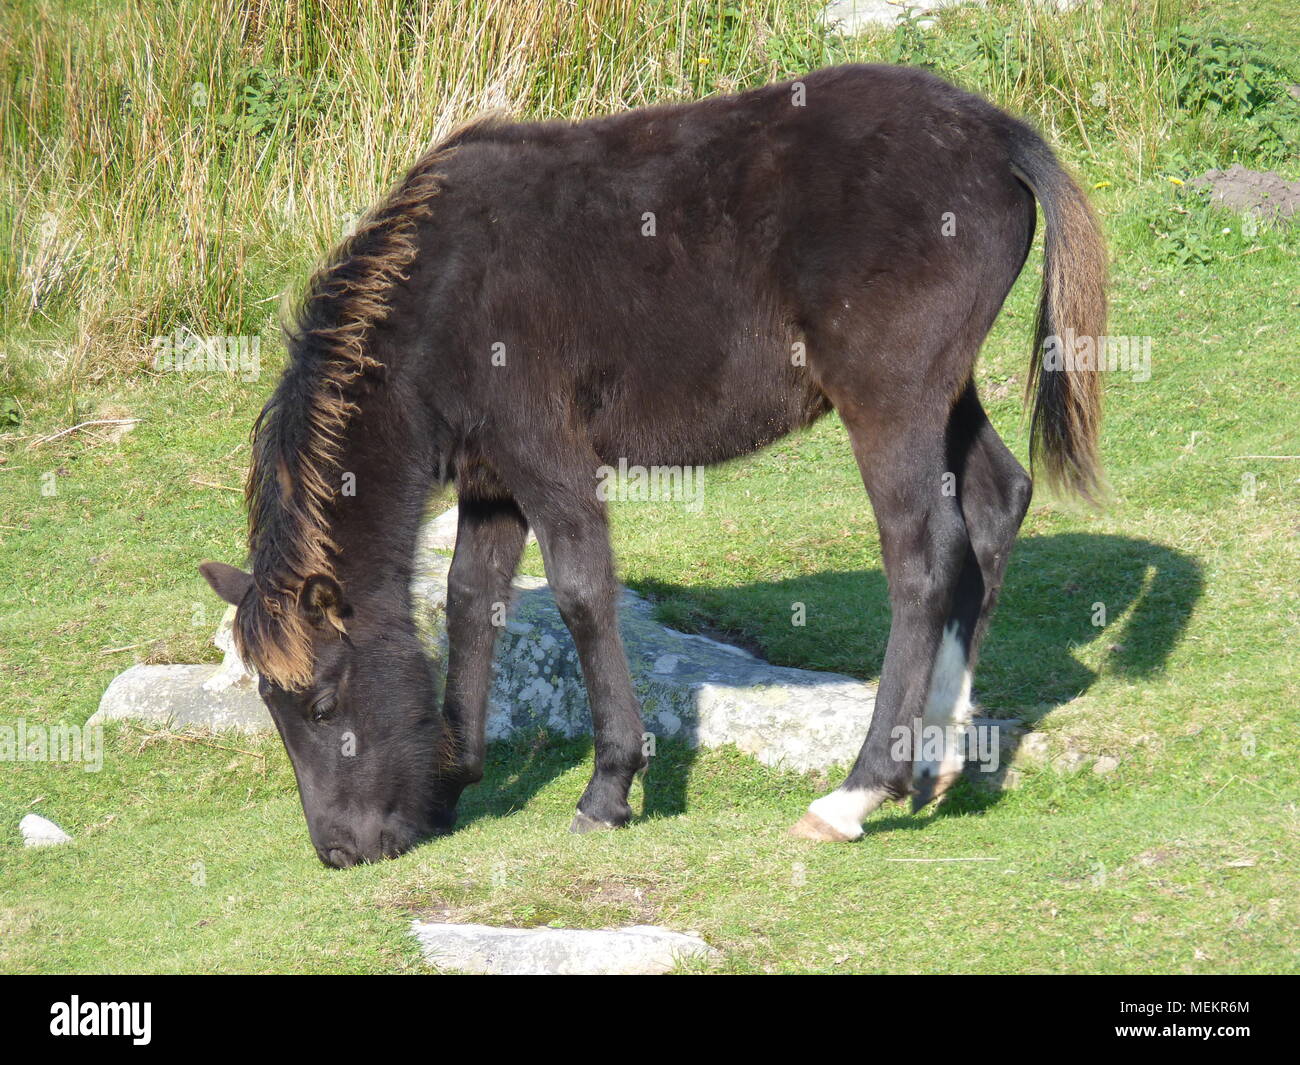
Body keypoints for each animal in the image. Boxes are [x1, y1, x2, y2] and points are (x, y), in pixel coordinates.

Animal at [200, 63, 1105, 868]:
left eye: (323, 703)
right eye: (274, 710)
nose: (342, 851)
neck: (438, 292)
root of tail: (995, 133)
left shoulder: (550, 460)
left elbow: (580, 594)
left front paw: (609, 787)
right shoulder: (493, 483)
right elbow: (469, 602)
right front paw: (455, 778)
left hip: (889, 402)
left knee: (925, 559)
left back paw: (856, 791)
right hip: (944, 394)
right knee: (996, 503)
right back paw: (941, 752)